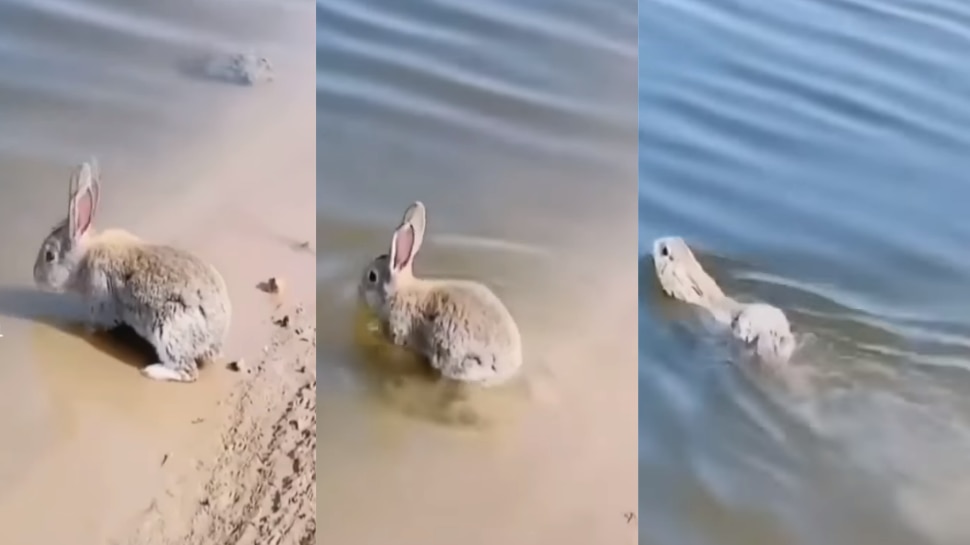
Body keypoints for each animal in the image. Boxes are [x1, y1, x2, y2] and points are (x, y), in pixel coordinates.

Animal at [32, 159, 232, 383]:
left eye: (50, 256)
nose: (35, 275)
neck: (84, 258)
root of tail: (217, 333)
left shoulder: (102, 297)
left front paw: (85, 329)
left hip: (170, 330)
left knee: (187, 371)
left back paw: (151, 370)